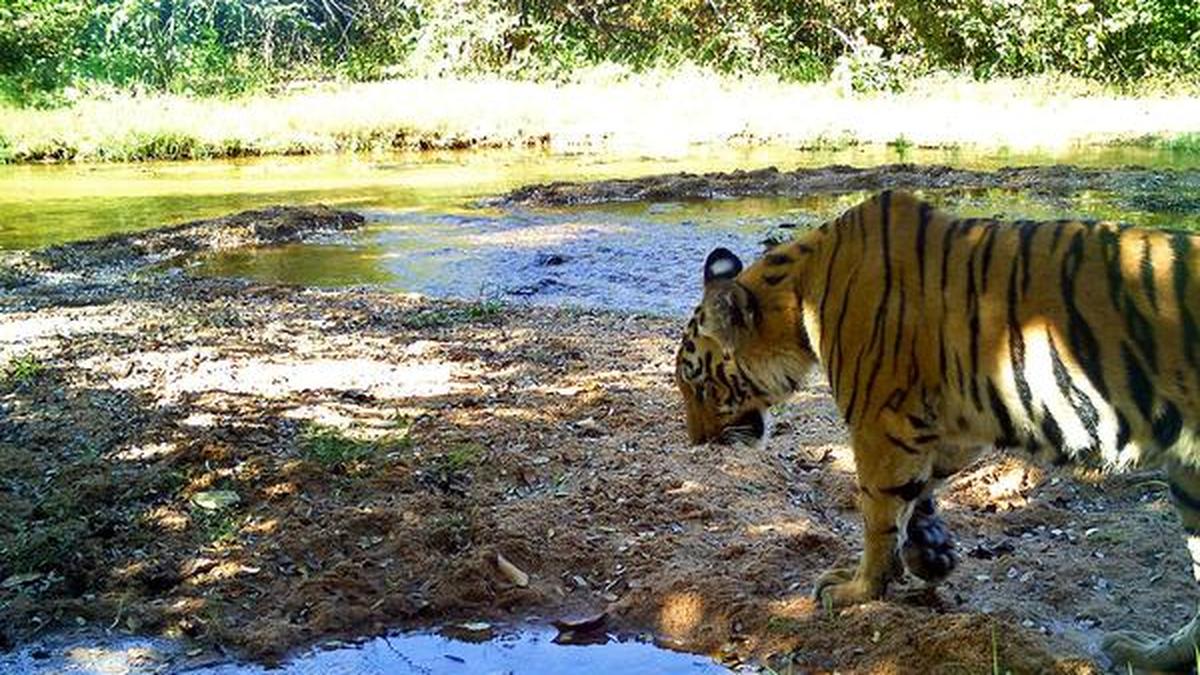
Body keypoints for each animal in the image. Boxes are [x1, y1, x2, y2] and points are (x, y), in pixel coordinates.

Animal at [674, 189, 1200, 671]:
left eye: (697, 382)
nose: (696, 441)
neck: (797, 295)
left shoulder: (879, 421)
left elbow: (876, 512)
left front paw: (857, 589)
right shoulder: (952, 424)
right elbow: (916, 494)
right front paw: (931, 553)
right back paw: (1148, 653)